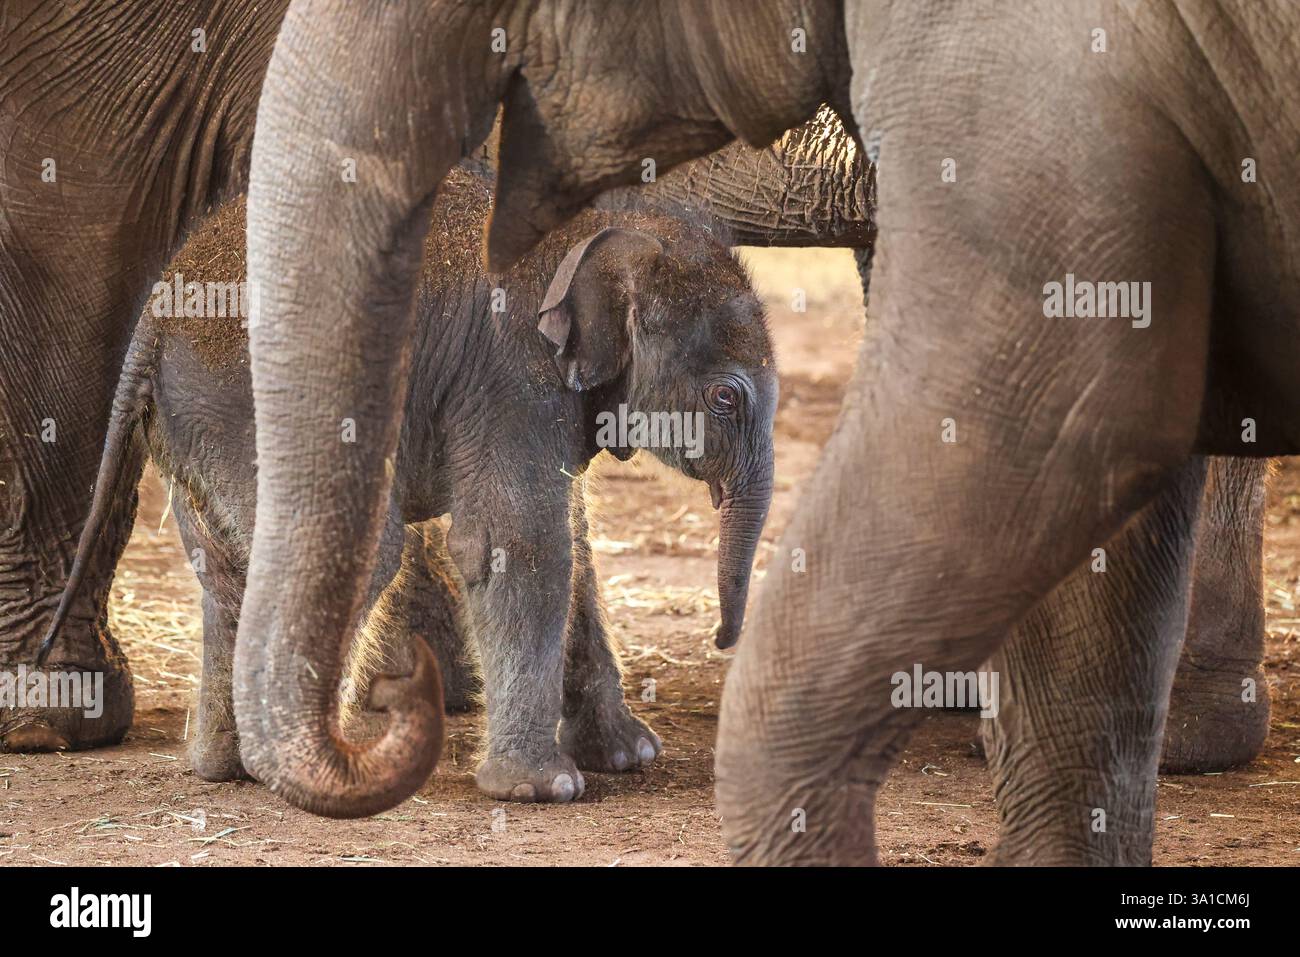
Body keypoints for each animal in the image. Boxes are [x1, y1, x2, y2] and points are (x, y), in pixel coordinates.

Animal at [45, 165, 780, 810]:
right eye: (724, 398)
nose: (723, 638)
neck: (593, 231)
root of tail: (154, 319)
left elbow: (569, 543)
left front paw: (628, 757)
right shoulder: (510, 379)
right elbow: (514, 545)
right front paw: (544, 791)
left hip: (193, 426)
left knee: (224, 568)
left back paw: (227, 767)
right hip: (257, 407)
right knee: (358, 552)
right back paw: (308, 771)